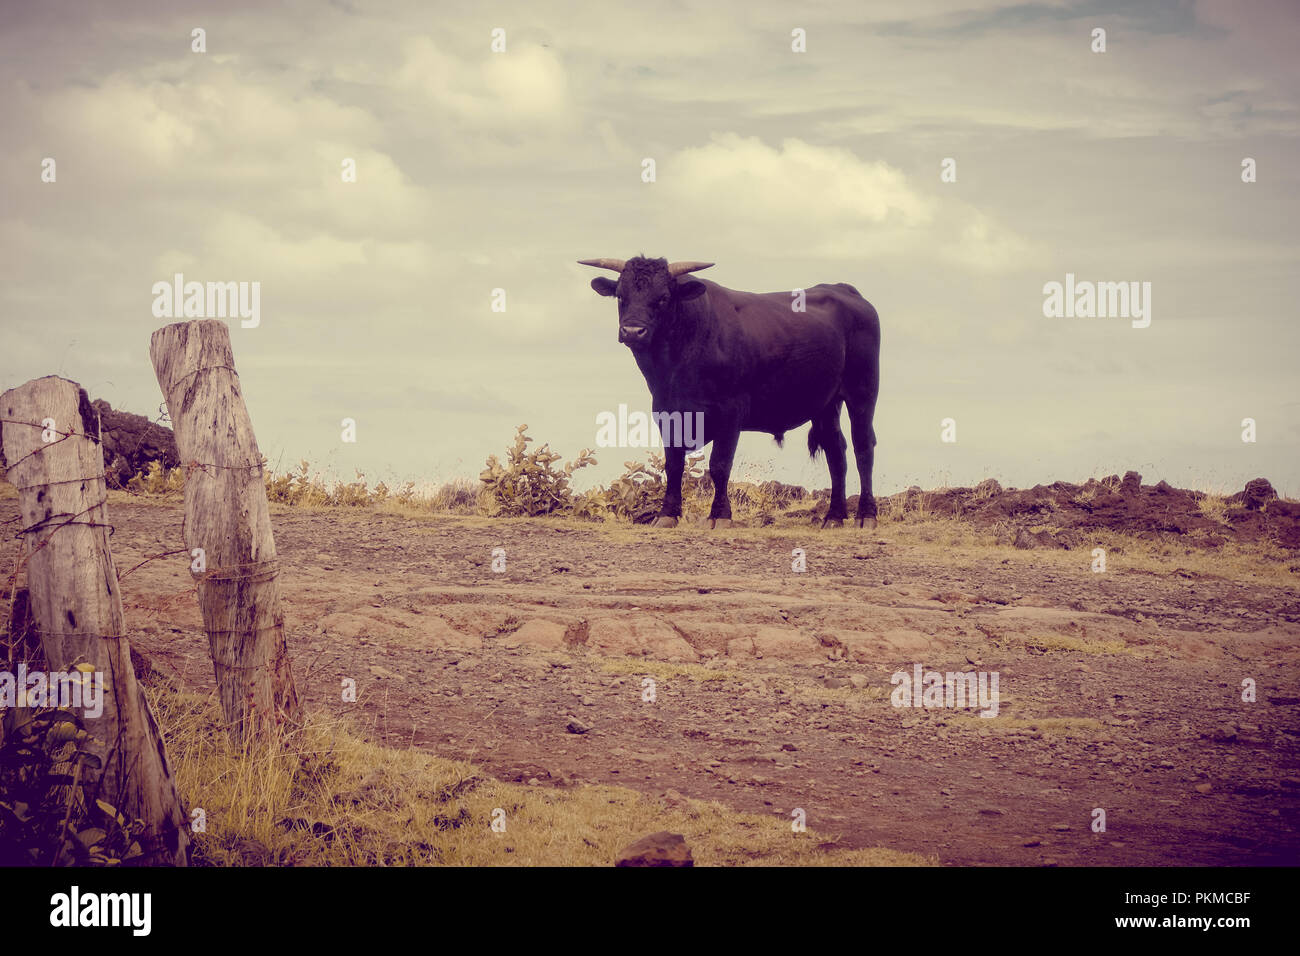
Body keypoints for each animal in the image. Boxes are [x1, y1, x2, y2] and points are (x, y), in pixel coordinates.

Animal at [579, 255, 880, 529]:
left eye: (663, 297)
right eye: (621, 296)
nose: (632, 331)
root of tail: (843, 290)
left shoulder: (730, 412)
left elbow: (719, 465)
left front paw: (720, 516)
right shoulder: (667, 412)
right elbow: (673, 465)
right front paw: (667, 515)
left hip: (863, 391)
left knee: (862, 447)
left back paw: (866, 516)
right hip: (826, 403)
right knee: (836, 452)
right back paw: (834, 517)